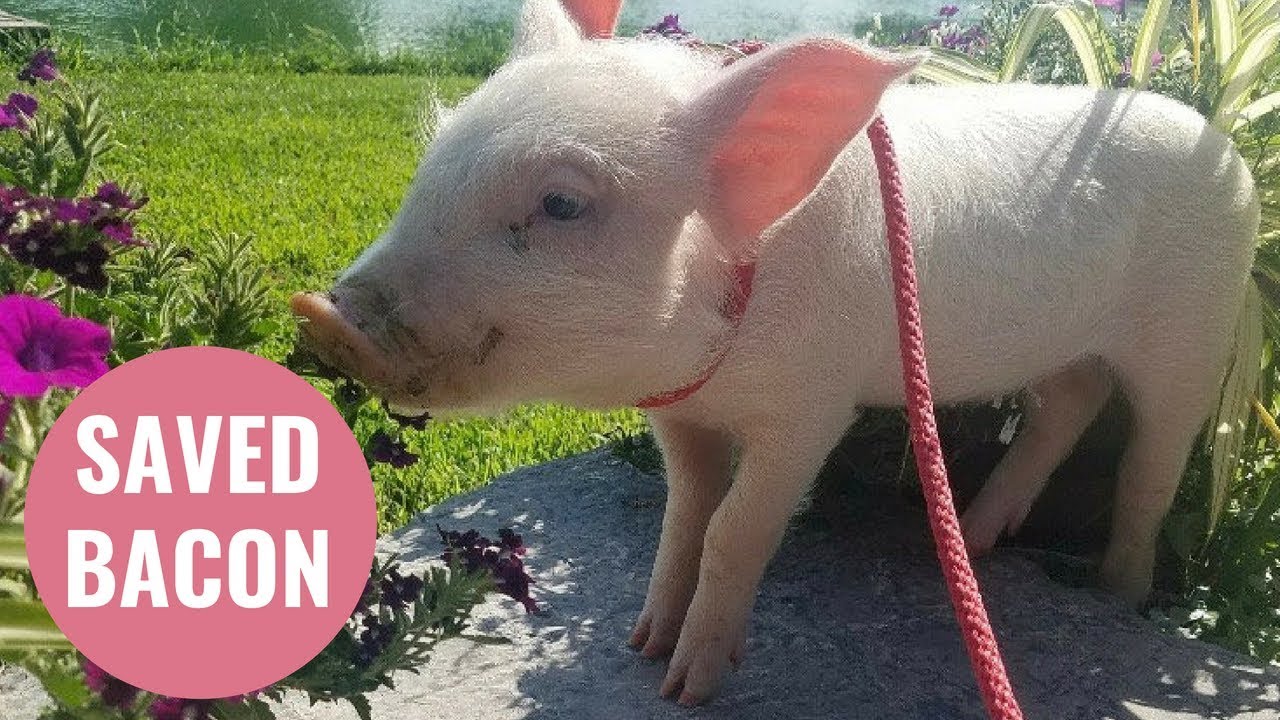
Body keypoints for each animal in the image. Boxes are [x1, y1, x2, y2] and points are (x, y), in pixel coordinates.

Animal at [291, 0, 1260, 705]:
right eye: (431, 168)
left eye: (562, 204)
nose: (325, 313)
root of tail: (1224, 146)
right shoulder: (680, 412)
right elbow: (685, 513)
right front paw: (641, 646)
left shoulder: (810, 408)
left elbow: (736, 527)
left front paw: (687, 690)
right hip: (1067, 346)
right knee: (1068, 404)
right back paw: (974, 543)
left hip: (1200, 325)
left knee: (1153, 460)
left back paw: (1118, 595)